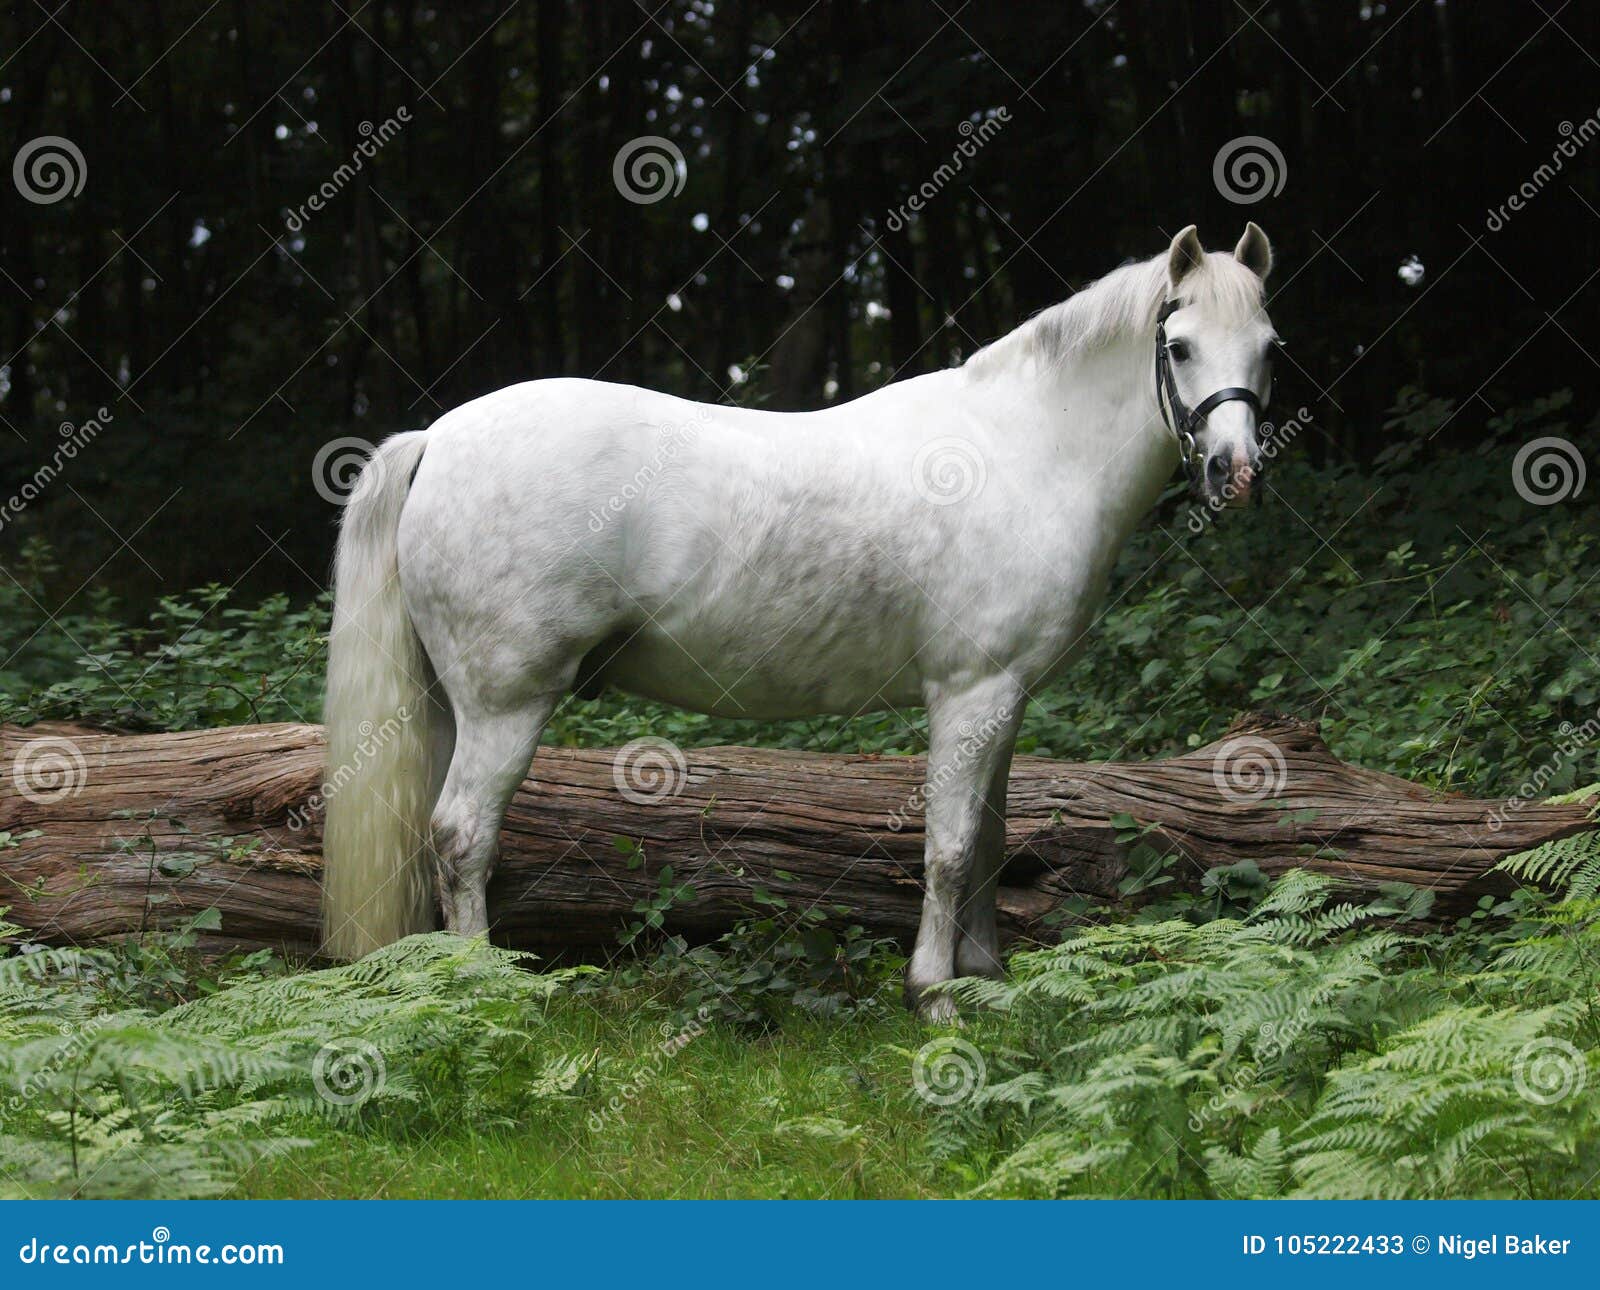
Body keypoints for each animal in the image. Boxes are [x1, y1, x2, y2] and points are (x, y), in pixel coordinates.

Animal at [320, 223, 1279, 1019]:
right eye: (1179, 346)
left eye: (1269, 347)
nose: (1234, 472)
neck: (1024, 450)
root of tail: (439, 438)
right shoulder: (969, 695)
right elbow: (949, 848)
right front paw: (935, 997)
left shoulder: (1003, 702)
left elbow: (988, 843)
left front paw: (987, 979)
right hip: (507, 703)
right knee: (461, 837)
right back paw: (485, 991)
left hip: (455, 706)